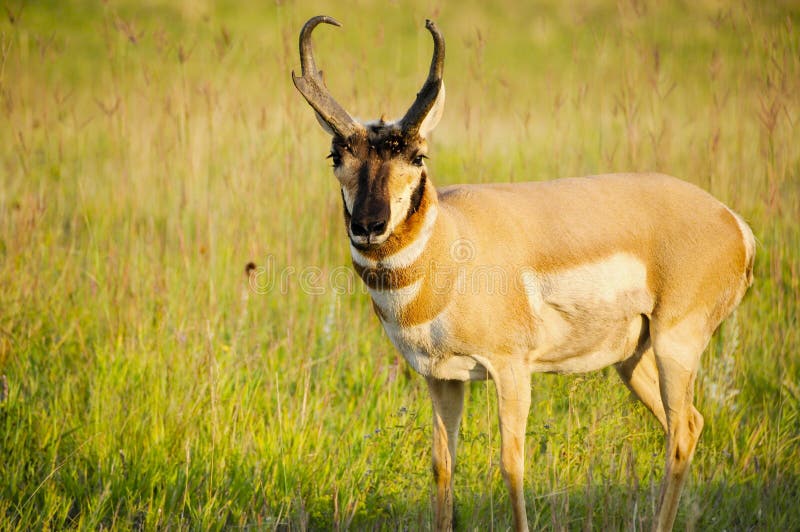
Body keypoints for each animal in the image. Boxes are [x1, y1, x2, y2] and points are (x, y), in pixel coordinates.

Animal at [292, 16, 755, 531]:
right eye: (337, 155)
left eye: (417, 156)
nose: (369, 225)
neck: (453, 245)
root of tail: (731, 221)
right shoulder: (442, 378)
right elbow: (442, 465)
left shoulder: (511, 370)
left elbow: (511, 464)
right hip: (633, 359)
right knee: (686, 424)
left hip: (676, 345)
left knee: (682, 430)